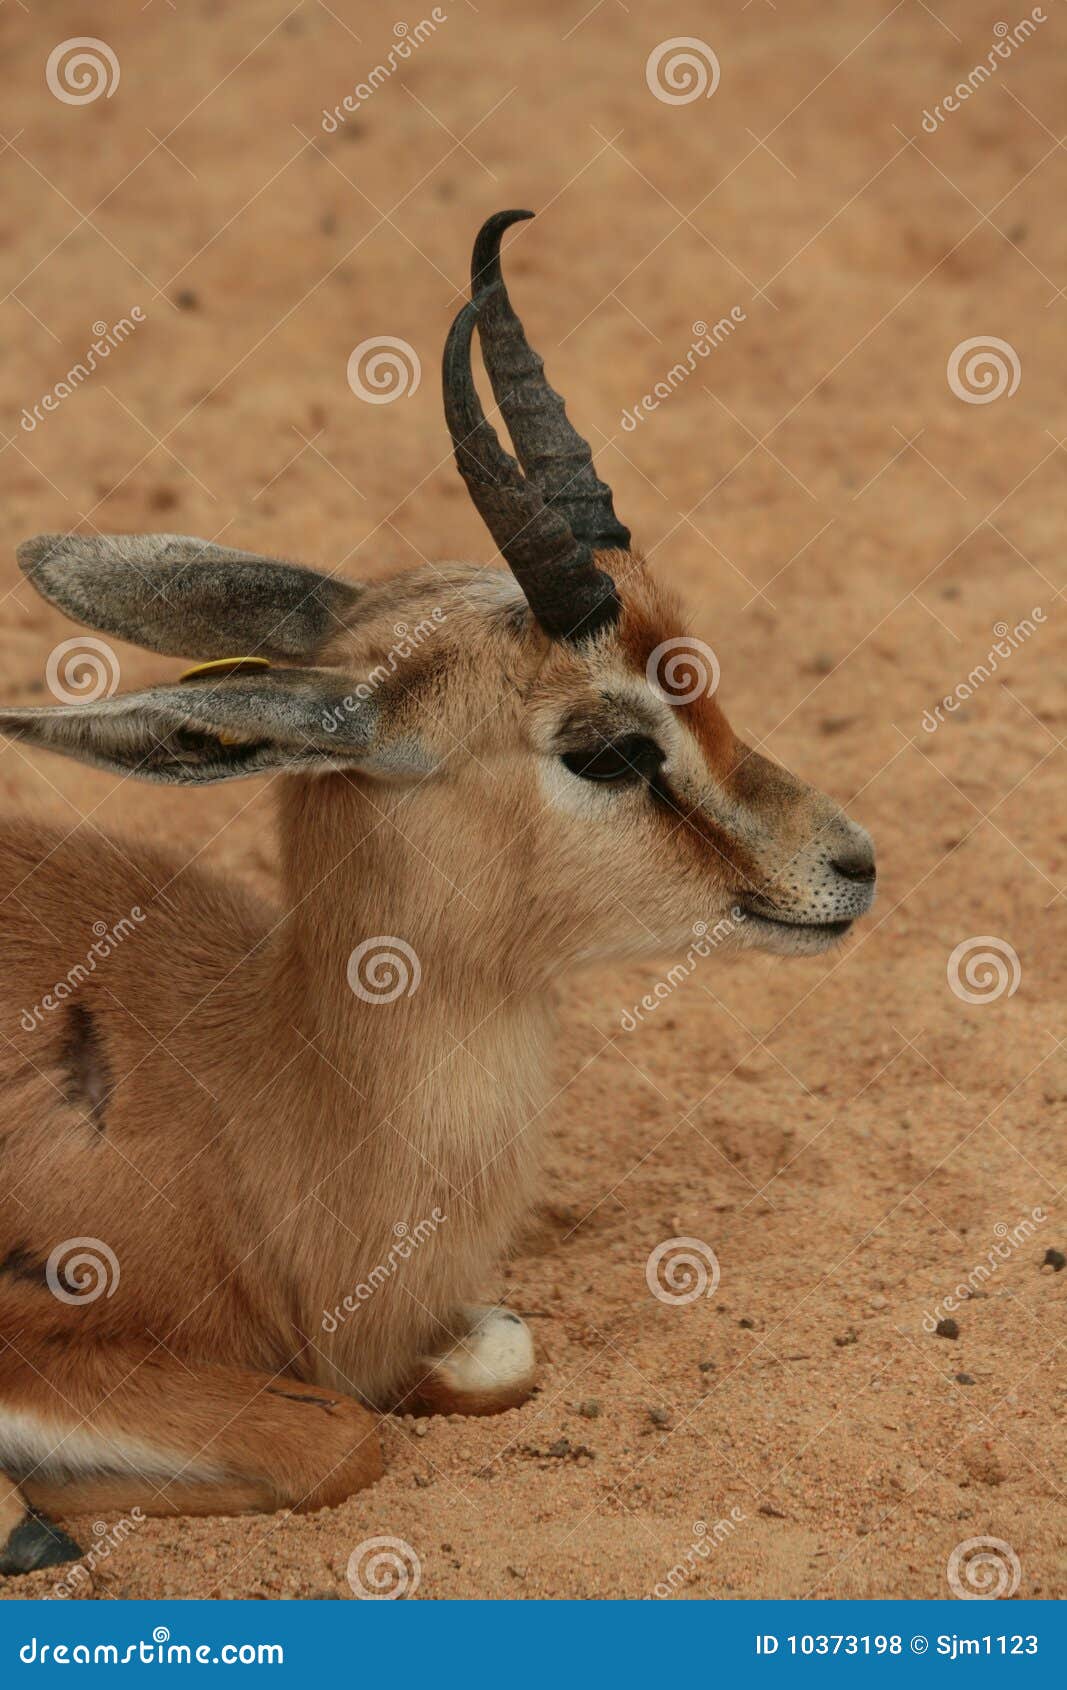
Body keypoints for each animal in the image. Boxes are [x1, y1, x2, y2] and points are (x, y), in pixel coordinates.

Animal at [0, 210, 875, 1575]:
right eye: (607, 747)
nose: (848, 862)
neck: (256, 1101)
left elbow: (487, 1353)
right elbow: (334, 1438)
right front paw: (35, 1517)